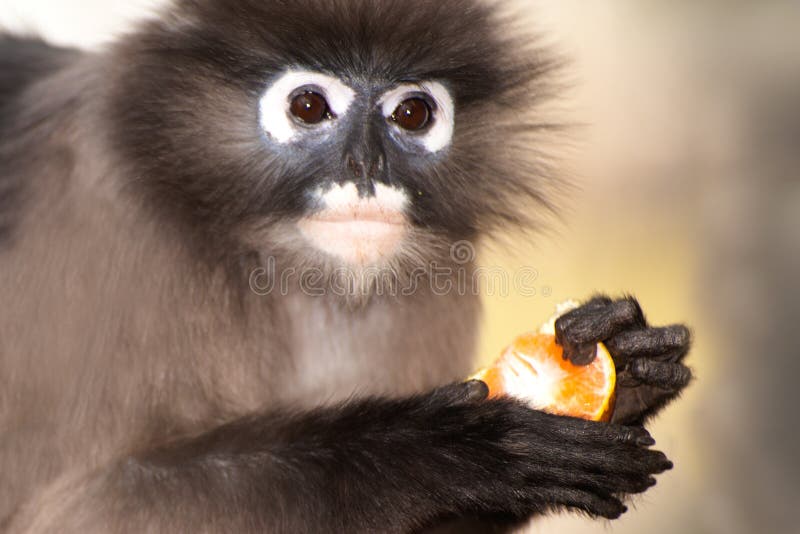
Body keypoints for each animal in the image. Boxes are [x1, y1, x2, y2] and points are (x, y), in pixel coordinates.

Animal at [0, 0, 693, 532]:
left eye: (413, 113)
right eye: (308, 106)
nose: (366, 169)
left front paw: (629, 370)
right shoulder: (108, 225)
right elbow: (79, 509)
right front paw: (448, 451)